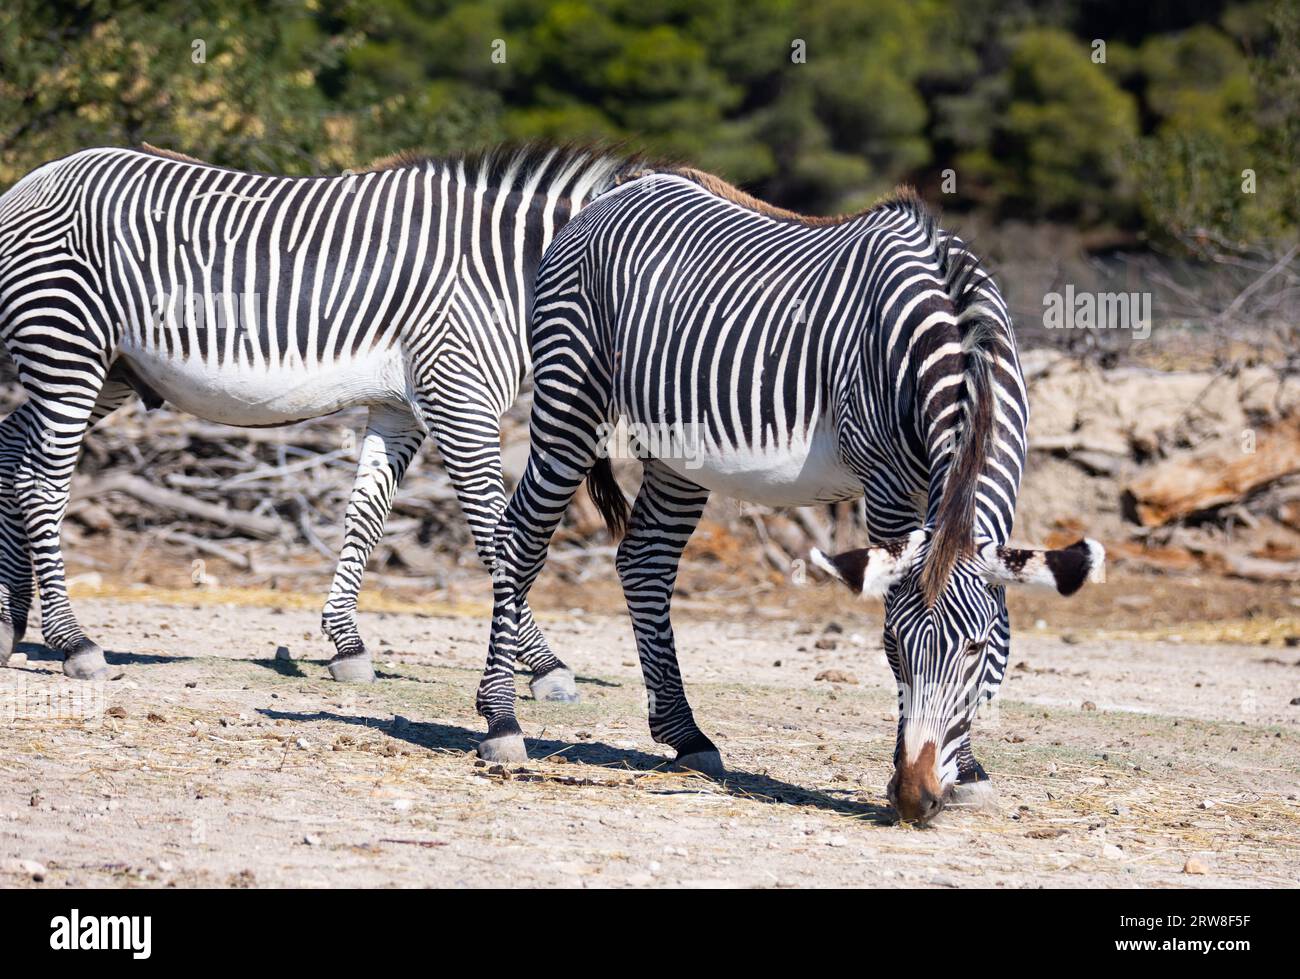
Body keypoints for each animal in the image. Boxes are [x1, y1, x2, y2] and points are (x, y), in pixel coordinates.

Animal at [0, 142, 647, 690]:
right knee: (41, 486)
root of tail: (28, 181)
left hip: (106, 368)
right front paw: (545, 664)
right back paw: (74, 642)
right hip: (67, 348)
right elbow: (495, 529)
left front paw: (347, 645)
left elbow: (368, 513)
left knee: (10, 450)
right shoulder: (458, 393)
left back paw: (10, 624)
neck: (507, 273)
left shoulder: (399, 408)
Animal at [476, 170, 1104, 823]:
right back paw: (502, 722)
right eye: (897, 648)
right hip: (570, 400)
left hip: (677, 452)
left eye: (977, 652)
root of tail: (615, 192)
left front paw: (972, 771)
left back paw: (686, 735)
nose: (915, 798)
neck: (956, 344)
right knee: (518, 537)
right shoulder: (884, 484)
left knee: (645, 561)